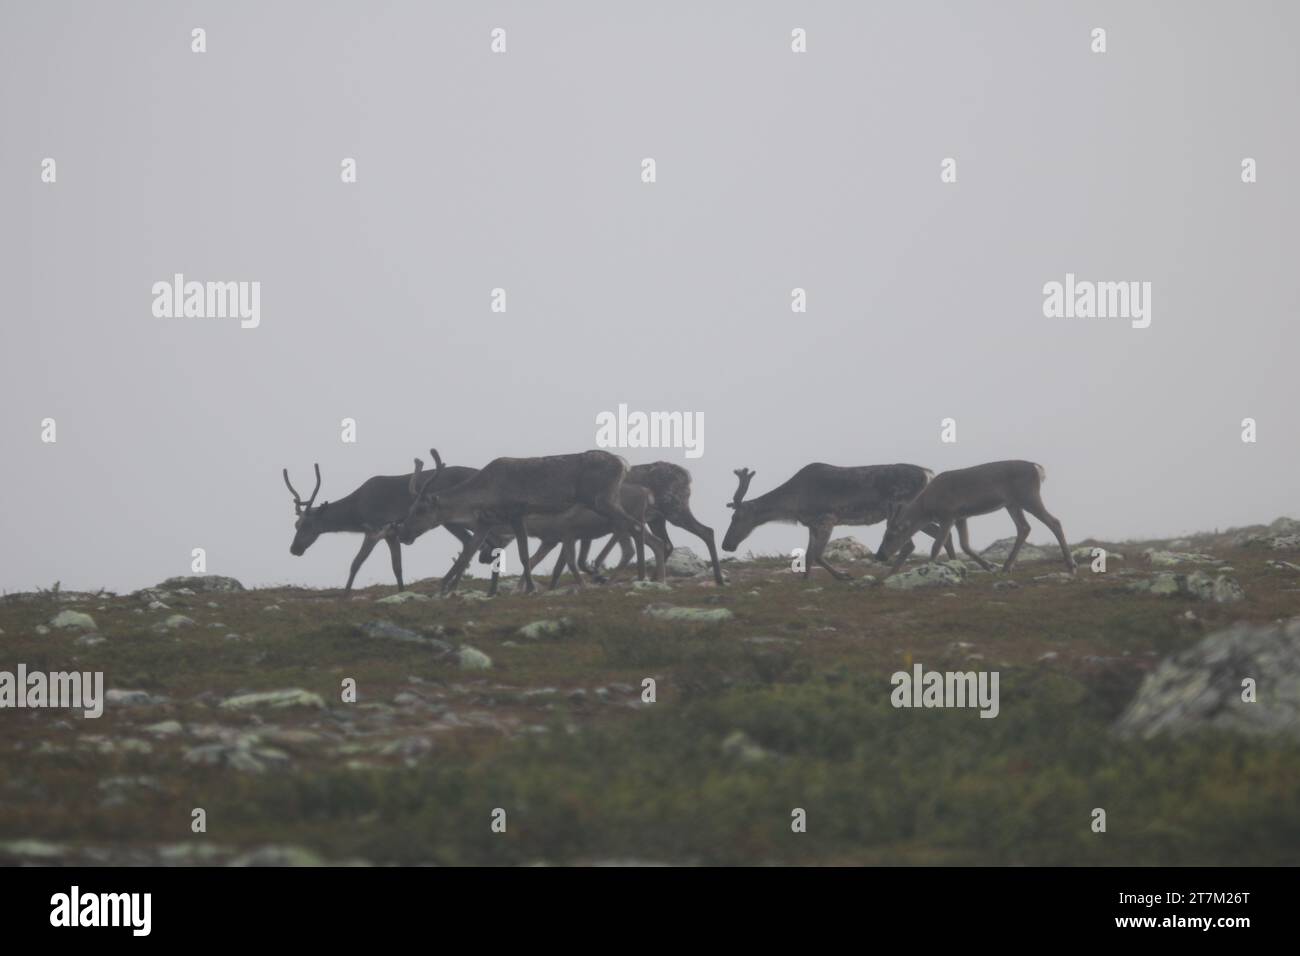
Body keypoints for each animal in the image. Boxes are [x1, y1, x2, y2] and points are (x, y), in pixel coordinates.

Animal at [283, 452, 480, 594]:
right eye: (295, 525)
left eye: (308, 525)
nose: (294, 549)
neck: (356, 512)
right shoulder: (391, 534)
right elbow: (397, 566)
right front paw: (401, 591)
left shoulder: (375, 530)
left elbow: (356, 562)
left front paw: (344, 594)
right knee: (469, 542)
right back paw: (454, 584)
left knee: (472, 541)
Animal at [397, 449, 646, 594]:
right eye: (409, 508)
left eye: (420, 509)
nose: (403, 534)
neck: (482, 494)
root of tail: (624, 464)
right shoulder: (486, 522)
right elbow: (466, 553)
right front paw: (444, 588)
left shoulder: (516, 513)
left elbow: (524, 555)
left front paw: (530, 588)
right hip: (606, 502)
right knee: (635, 526)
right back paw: (640, 576)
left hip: (602, 500)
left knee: (635, 525)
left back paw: (635, 577)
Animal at [582, 461, 725, 585]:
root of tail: (687, 475)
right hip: (657, 519)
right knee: (667, 544)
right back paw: (654, 579)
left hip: (674, 509)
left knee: (706, 531)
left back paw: (719, 579)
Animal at [720, 463, 956, 580]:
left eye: (736, 516)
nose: (726, 544)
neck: (793, 504)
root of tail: (928, 474)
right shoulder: (812, 525)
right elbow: (809, 556)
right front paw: (806, 581)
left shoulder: (827, 519)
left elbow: (816, 555)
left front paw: (842, 575)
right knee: (943, 533)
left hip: (904, 510)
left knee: (912, 543)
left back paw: (889, 575)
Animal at [873, 460, 1075, 575]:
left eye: (890, 535)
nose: (879, 555)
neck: (926, 508)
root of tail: (1038, 469)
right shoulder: (960, 517)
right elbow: (965, 545)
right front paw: (988, 566)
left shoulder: (947, 514)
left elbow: (936, 546)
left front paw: (928, 569)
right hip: (1012, 503)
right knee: (1024, 527)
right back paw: (1006, 566)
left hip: (1028, 496)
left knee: (1054, 522)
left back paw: (1071, 565)